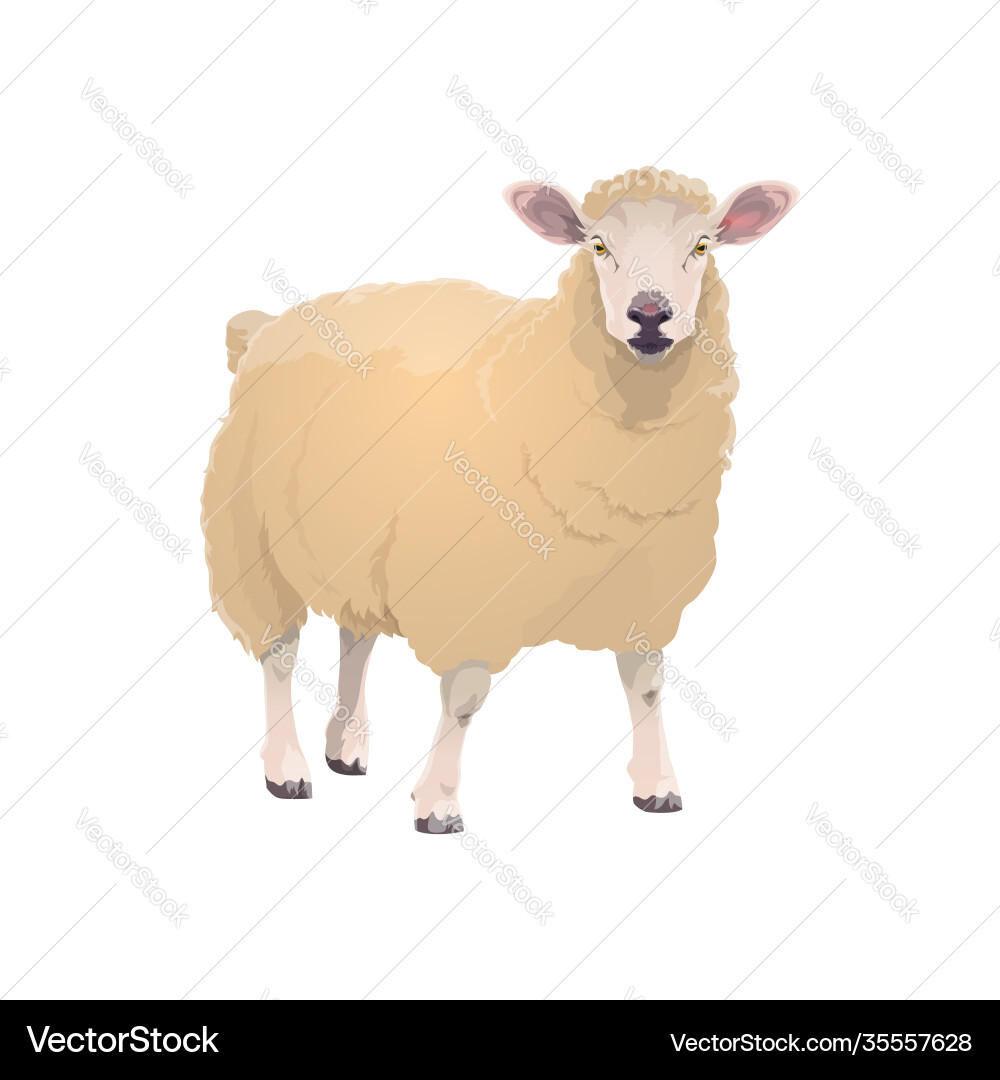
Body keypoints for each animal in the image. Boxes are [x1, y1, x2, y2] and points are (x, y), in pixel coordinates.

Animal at [201, 166, 797, 829]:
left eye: (702, 244)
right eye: (597, 245)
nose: (649, 315)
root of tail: (264, 325)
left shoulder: (644, 592)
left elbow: (644, 686)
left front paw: (658, 787)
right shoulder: (467, 597)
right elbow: (462, 699)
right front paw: (437, 804)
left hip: (360, 538)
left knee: (356, 638)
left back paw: (347, 748)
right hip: (251, 538)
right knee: (279, 653)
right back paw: (288, 767)